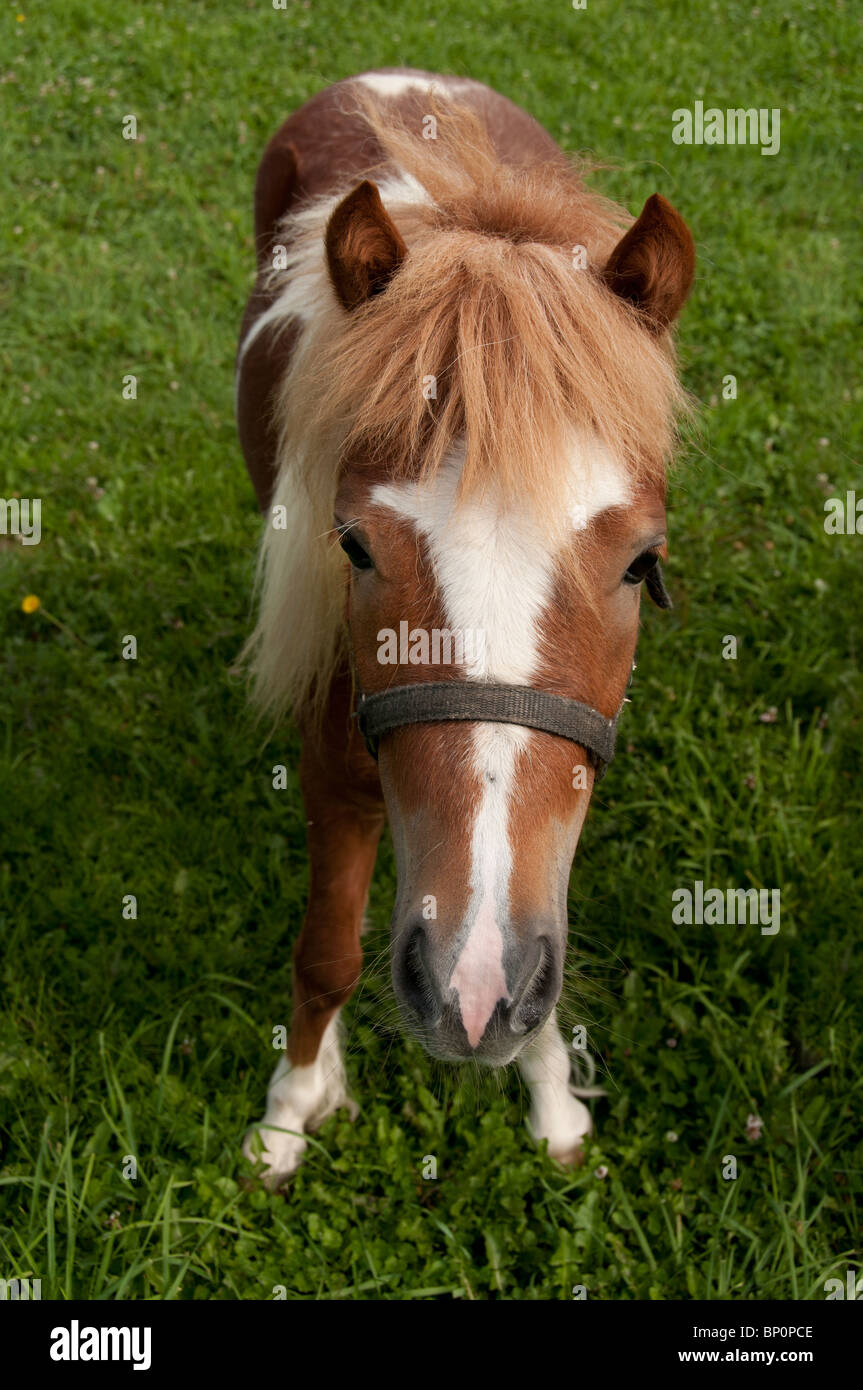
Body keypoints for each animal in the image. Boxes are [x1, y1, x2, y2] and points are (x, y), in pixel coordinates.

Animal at [236, 68, 695, 1188]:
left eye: (641, 562)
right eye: (354, 547)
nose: (472, 988)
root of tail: (401, 77)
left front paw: (551, 1094)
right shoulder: (334, 773)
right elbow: (326, 951)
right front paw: (292, 1109)